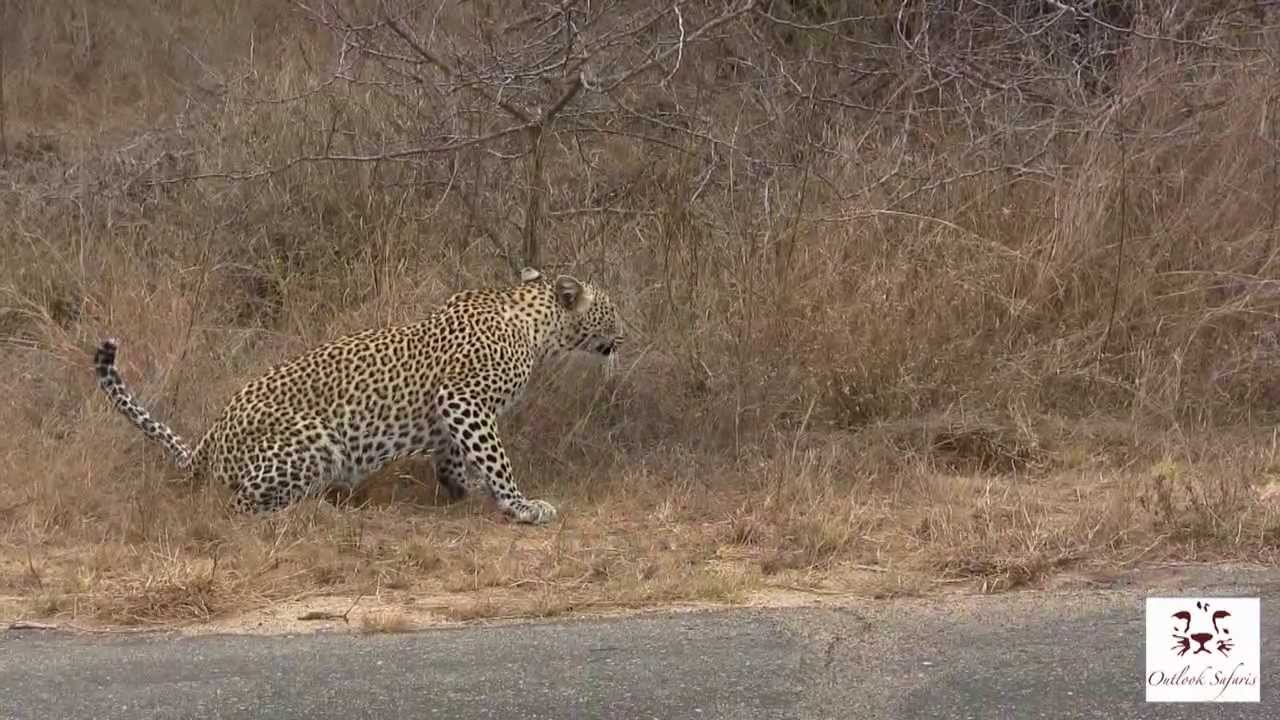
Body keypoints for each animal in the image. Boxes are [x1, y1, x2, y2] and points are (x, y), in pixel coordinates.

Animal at [92, 267, 623, 523]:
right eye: (612, 310)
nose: (625, 334)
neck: (536, 327)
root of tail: (209, 442)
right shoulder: (464, 400)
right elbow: (497, 460)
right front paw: (521, 506)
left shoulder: (449, 412)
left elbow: (455, 458)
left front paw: (462, 491)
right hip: (313, 439)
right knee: (240, 507)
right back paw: (316, 509)